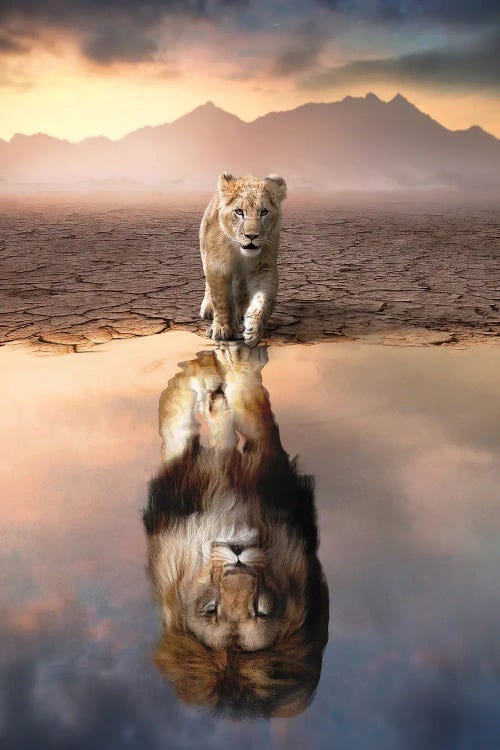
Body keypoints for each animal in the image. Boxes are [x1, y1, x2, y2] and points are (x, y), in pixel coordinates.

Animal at [143, 345, 329, 717]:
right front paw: (197, 376)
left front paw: (237, 367)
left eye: (261, 609)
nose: (238, 556)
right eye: (211, 609)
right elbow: (176, 420)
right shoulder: (179, 483)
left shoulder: (272, 470)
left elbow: (251, 404)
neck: (230, 514)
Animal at [199, 173, 287, 346]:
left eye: (264, 212)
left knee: (241, 287)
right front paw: (222, 329)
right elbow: (222, 299)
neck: (239, 251)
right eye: (239, 212)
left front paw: (253, 329)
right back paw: (208, 309)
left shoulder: (263, 267)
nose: (252, 236)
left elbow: (264, 300)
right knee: (209, 285)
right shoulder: (217, 265)